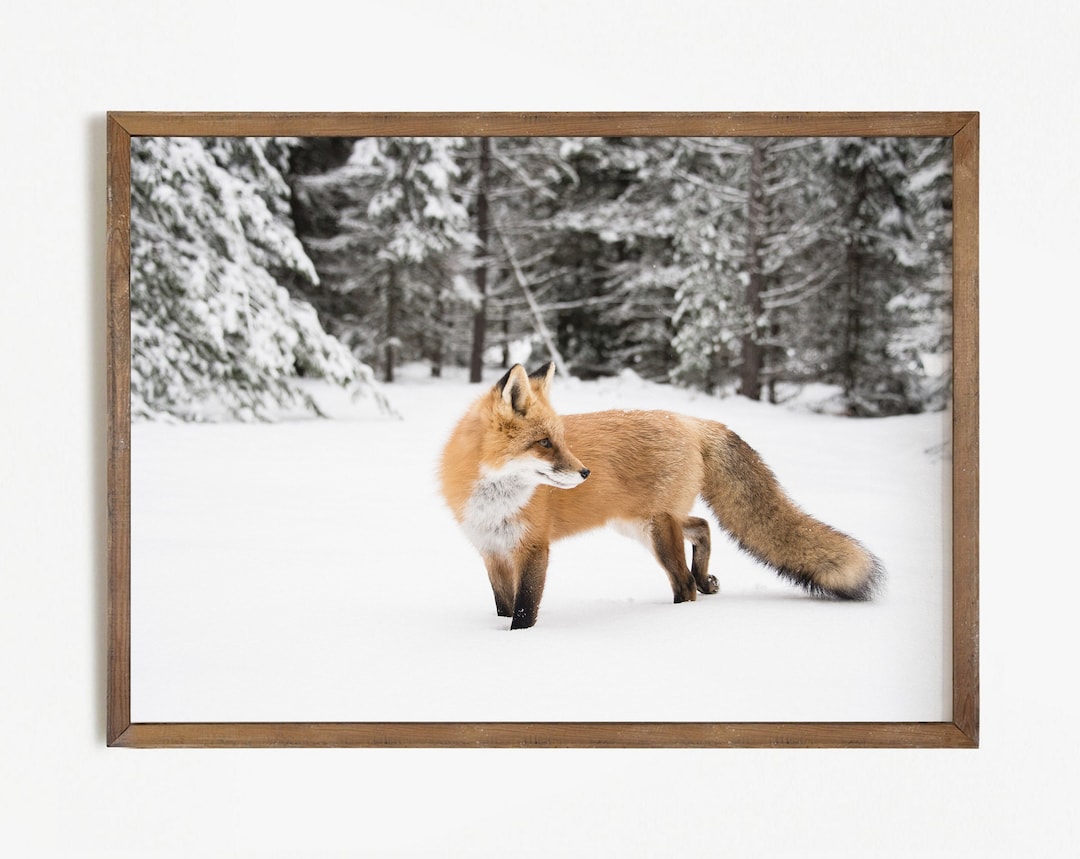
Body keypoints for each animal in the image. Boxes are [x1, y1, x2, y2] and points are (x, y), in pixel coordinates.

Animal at [439, 362, 883, 629]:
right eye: (545, 443)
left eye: (560, 440)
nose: (585, 472)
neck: (494, 501)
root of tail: (692, 421)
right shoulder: (492, 551)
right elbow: (503, 605)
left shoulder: (533, 548)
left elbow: (525, 609)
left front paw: (518, 642)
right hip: (640, 524)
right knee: (702, 526)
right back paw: (706, 579)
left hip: (655, 530)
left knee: (684, 582)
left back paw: (676, 618)